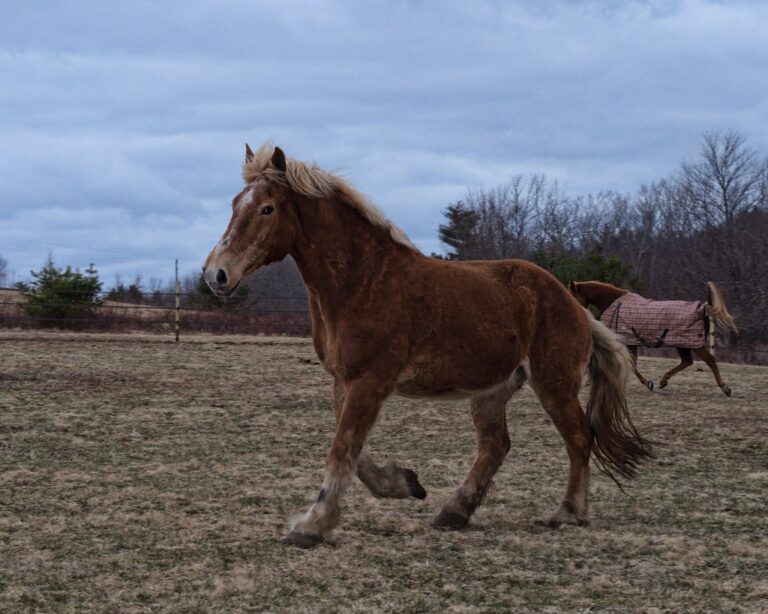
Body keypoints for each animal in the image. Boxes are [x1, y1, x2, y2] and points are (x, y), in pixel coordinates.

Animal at [203, 143, 652, 548]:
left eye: (267, 209)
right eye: (235, 203)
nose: (216, 275)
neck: (362, 281)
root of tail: (572, 303)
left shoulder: (371, 381)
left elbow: (342, 449)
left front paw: (312, 526)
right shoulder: (344, 380)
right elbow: (353, 450)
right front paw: (405, 483)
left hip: (553, 383)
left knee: (579, 438)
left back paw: (568, 513)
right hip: (492, 390)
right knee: (496, 446)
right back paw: (454, 512)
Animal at [569, 280, 738, 396]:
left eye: (571, 295)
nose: (575, 313)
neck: (615, 303)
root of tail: (703, 308)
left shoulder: (626, 342)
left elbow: (631, 364)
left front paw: (647, 383)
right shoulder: (631, 342)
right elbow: (632, 363)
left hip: (692, 344)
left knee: (710, 360)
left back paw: (725, 388)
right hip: (682, 344)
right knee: (687, 361)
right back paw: (664, 380)